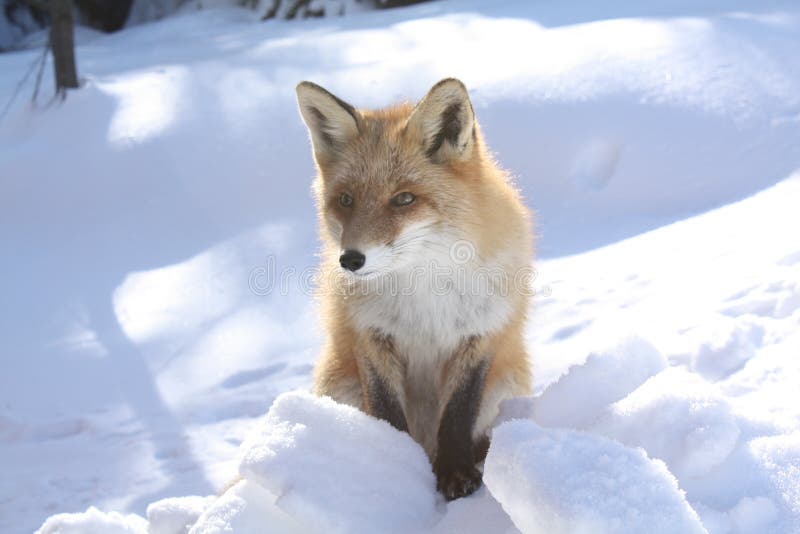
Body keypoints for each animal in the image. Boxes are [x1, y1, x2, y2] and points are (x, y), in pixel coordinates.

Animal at [295, 78, 534, 500]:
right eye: (346, 200)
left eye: (403, 199)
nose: (350, 260)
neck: (425, 290)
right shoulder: (370, 336)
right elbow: (387, 413)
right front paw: (396, 472)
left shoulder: (480, 334)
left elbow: (458, 413)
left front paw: (456, 474)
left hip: (506, 383)